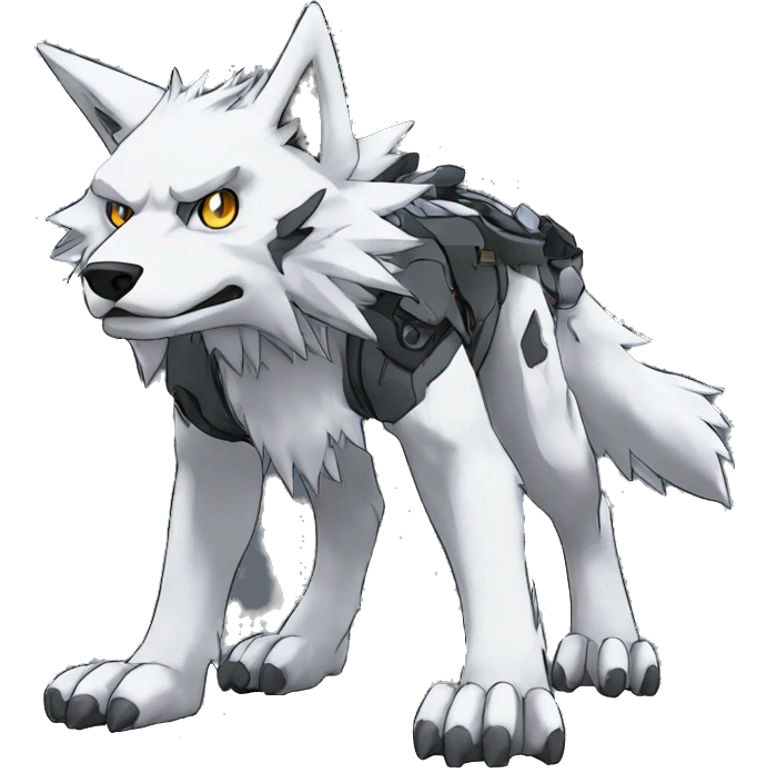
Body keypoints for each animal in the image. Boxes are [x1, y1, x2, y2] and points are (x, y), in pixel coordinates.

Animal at [38, 3, 733, 764]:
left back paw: (612, 644)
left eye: (218, 208)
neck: (284, 332)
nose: (108, 277)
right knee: (359, 509)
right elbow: (189, 575)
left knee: (584, 503)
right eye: (116, 213)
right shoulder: (218, 445)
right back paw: (303, 649)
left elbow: (492, 558)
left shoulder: (455, 443)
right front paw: (153, 676)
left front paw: (500, 694)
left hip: (532, 404)